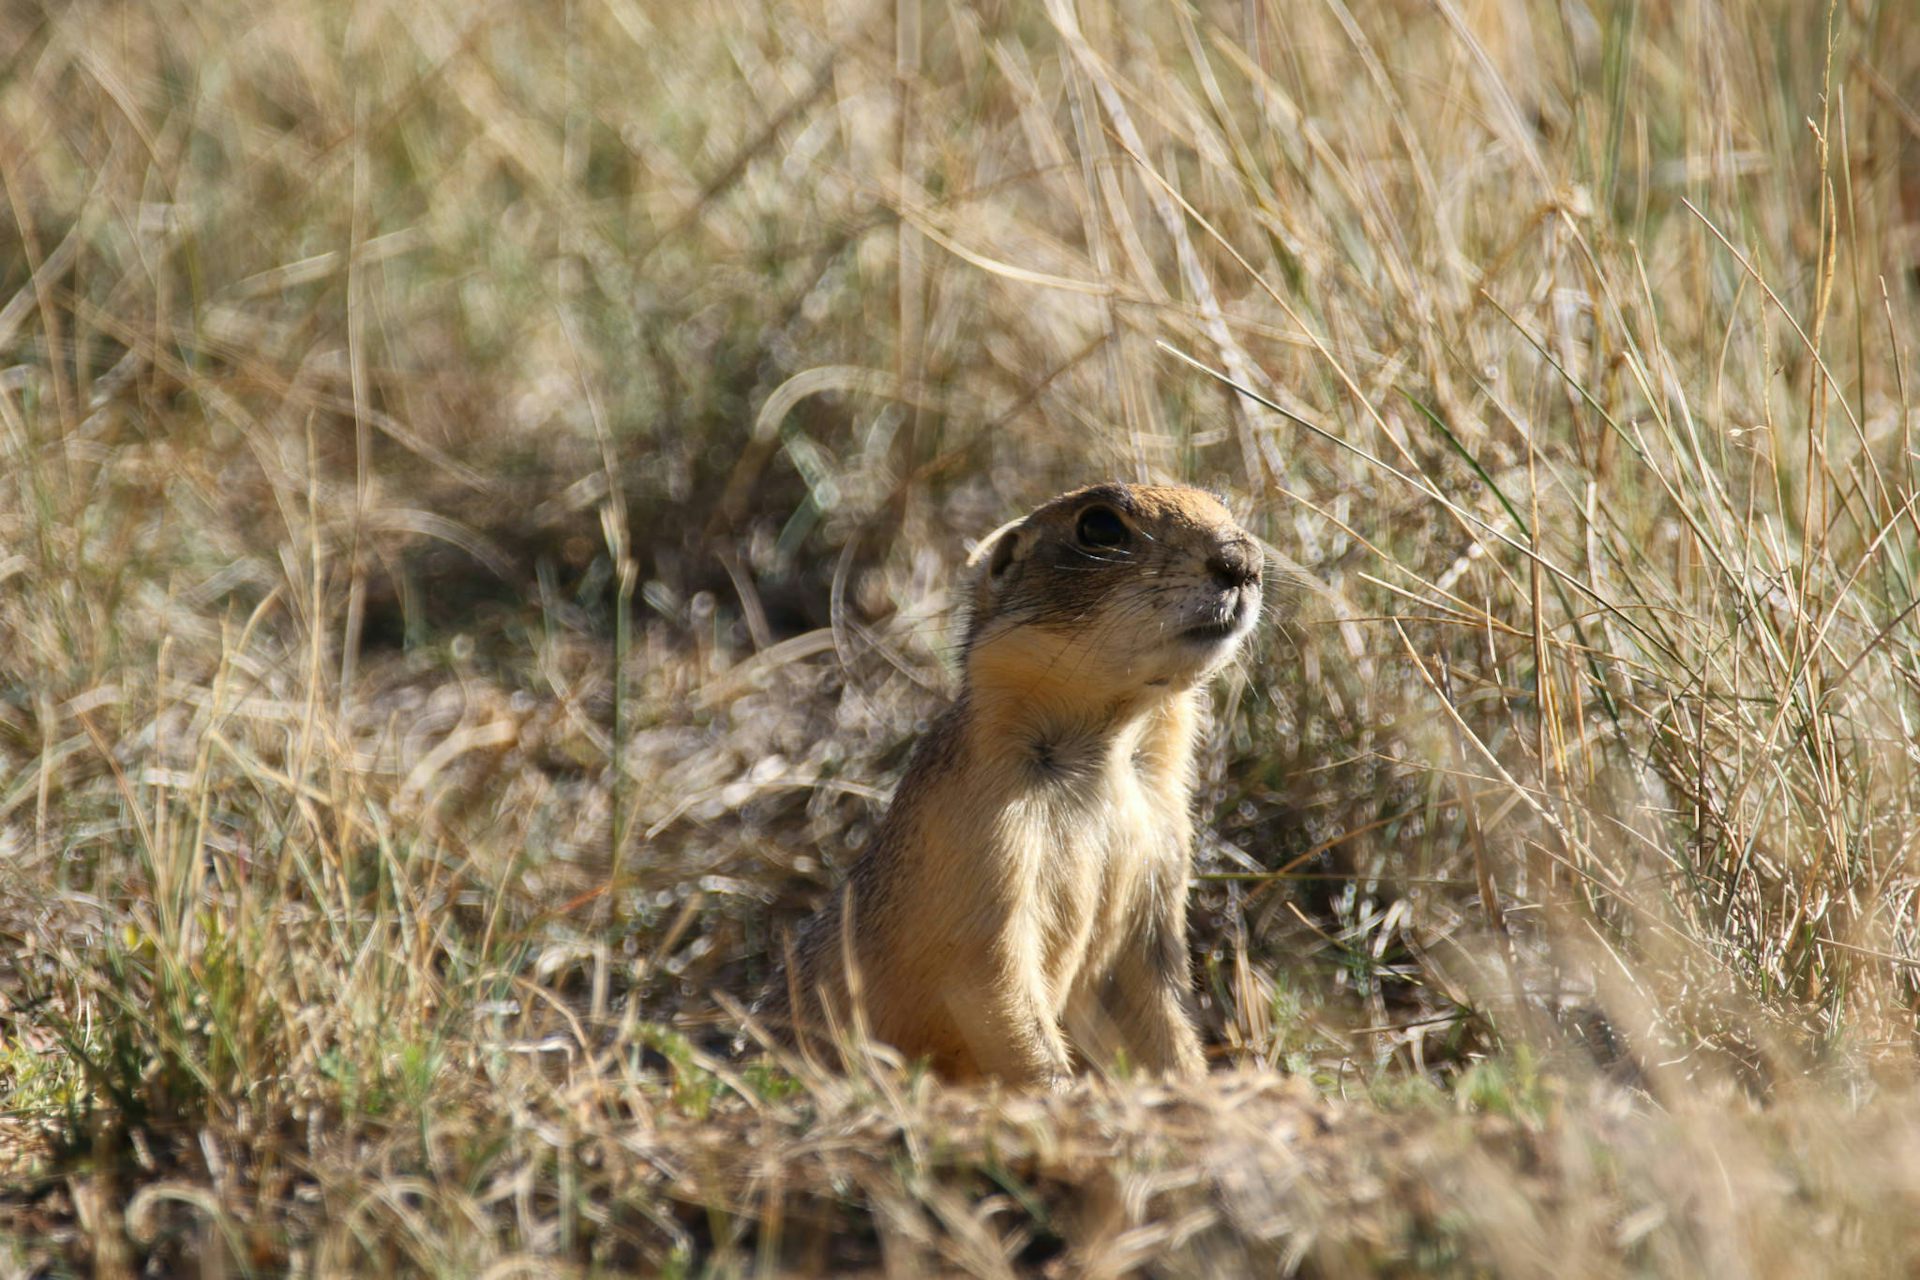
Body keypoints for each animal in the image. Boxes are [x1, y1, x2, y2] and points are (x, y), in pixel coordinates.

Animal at [756, 485, 1267, 1090]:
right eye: (1099, 526)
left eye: (1222, 502)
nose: (1243, 561)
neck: (1107, 750)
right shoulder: (980, 840)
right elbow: (993, 985)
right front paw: (1061, 1093)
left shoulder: (1161, 855)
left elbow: (1154, 1010)